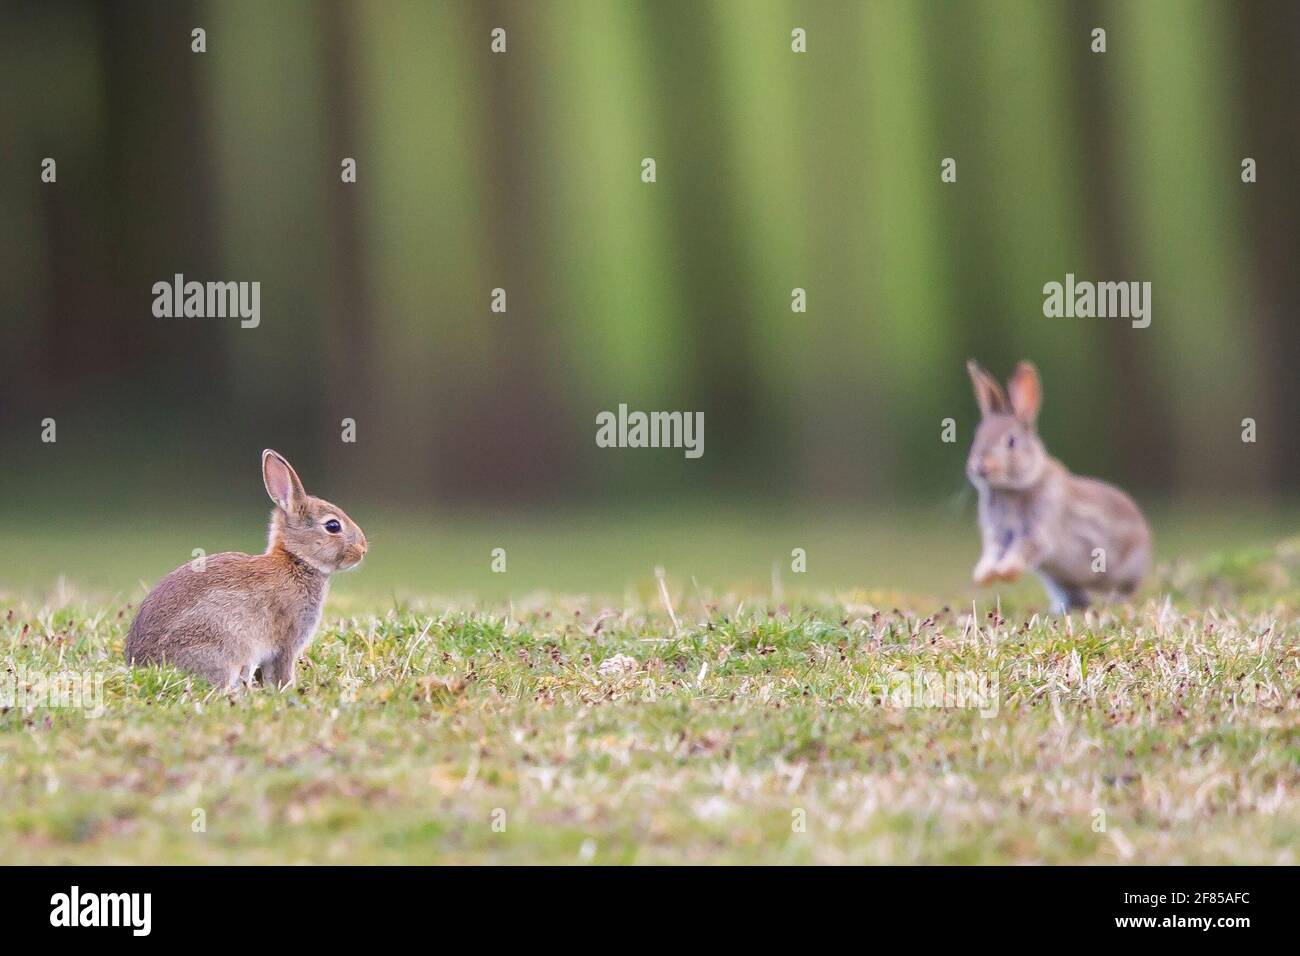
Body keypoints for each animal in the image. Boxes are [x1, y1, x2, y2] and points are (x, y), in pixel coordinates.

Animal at [125, 449, 367, 690]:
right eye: (333, 526)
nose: (363, 549)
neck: (296, 560)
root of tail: (144, 663)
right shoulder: (287, 642)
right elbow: (283, 669)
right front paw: (289, 689)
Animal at [965, 360, 1150, 613]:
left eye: (1011, 441)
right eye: (977, 437)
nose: (980, 467)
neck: (1012, 487)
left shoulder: (1039, 526)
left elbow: (1026, 546)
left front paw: (1006, 572)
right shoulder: (996, 532)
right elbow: (992, 550)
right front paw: (985, 575)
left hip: (1123, 572)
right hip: (1056, 579)